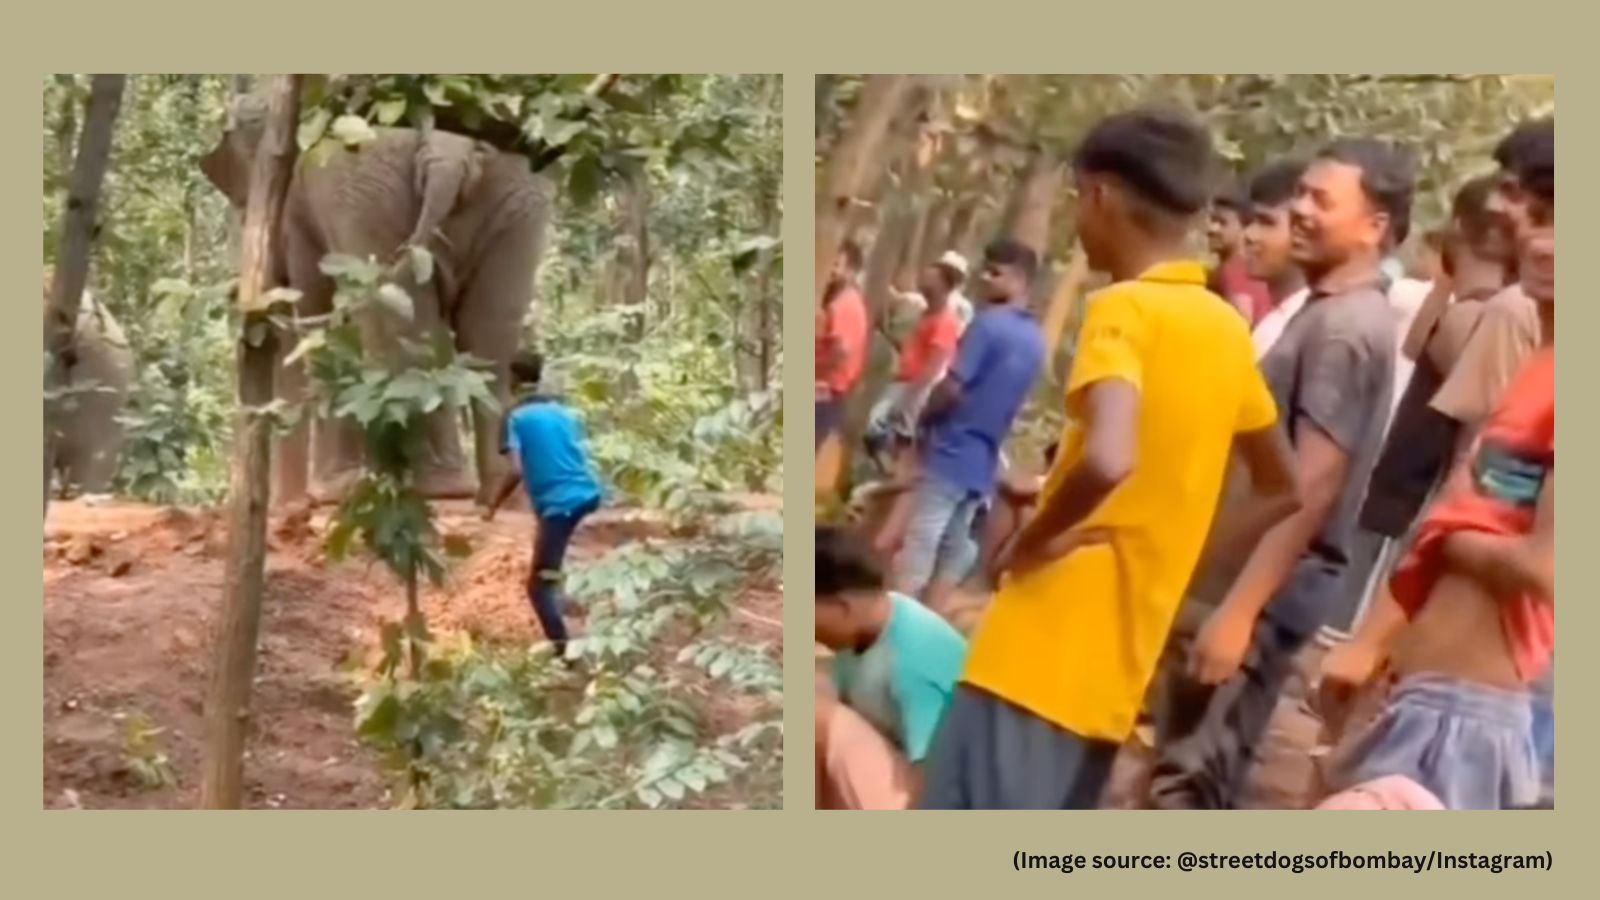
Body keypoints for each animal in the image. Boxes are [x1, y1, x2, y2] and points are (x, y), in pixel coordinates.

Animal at [200, 93, 554, 507]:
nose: (237, 293)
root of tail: (451, 146)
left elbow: (318, 310)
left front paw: (325, 494)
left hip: (365, 191)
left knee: (399, 318)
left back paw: (425, 487)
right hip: (516, 194)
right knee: (488, 329)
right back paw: (493, 488)